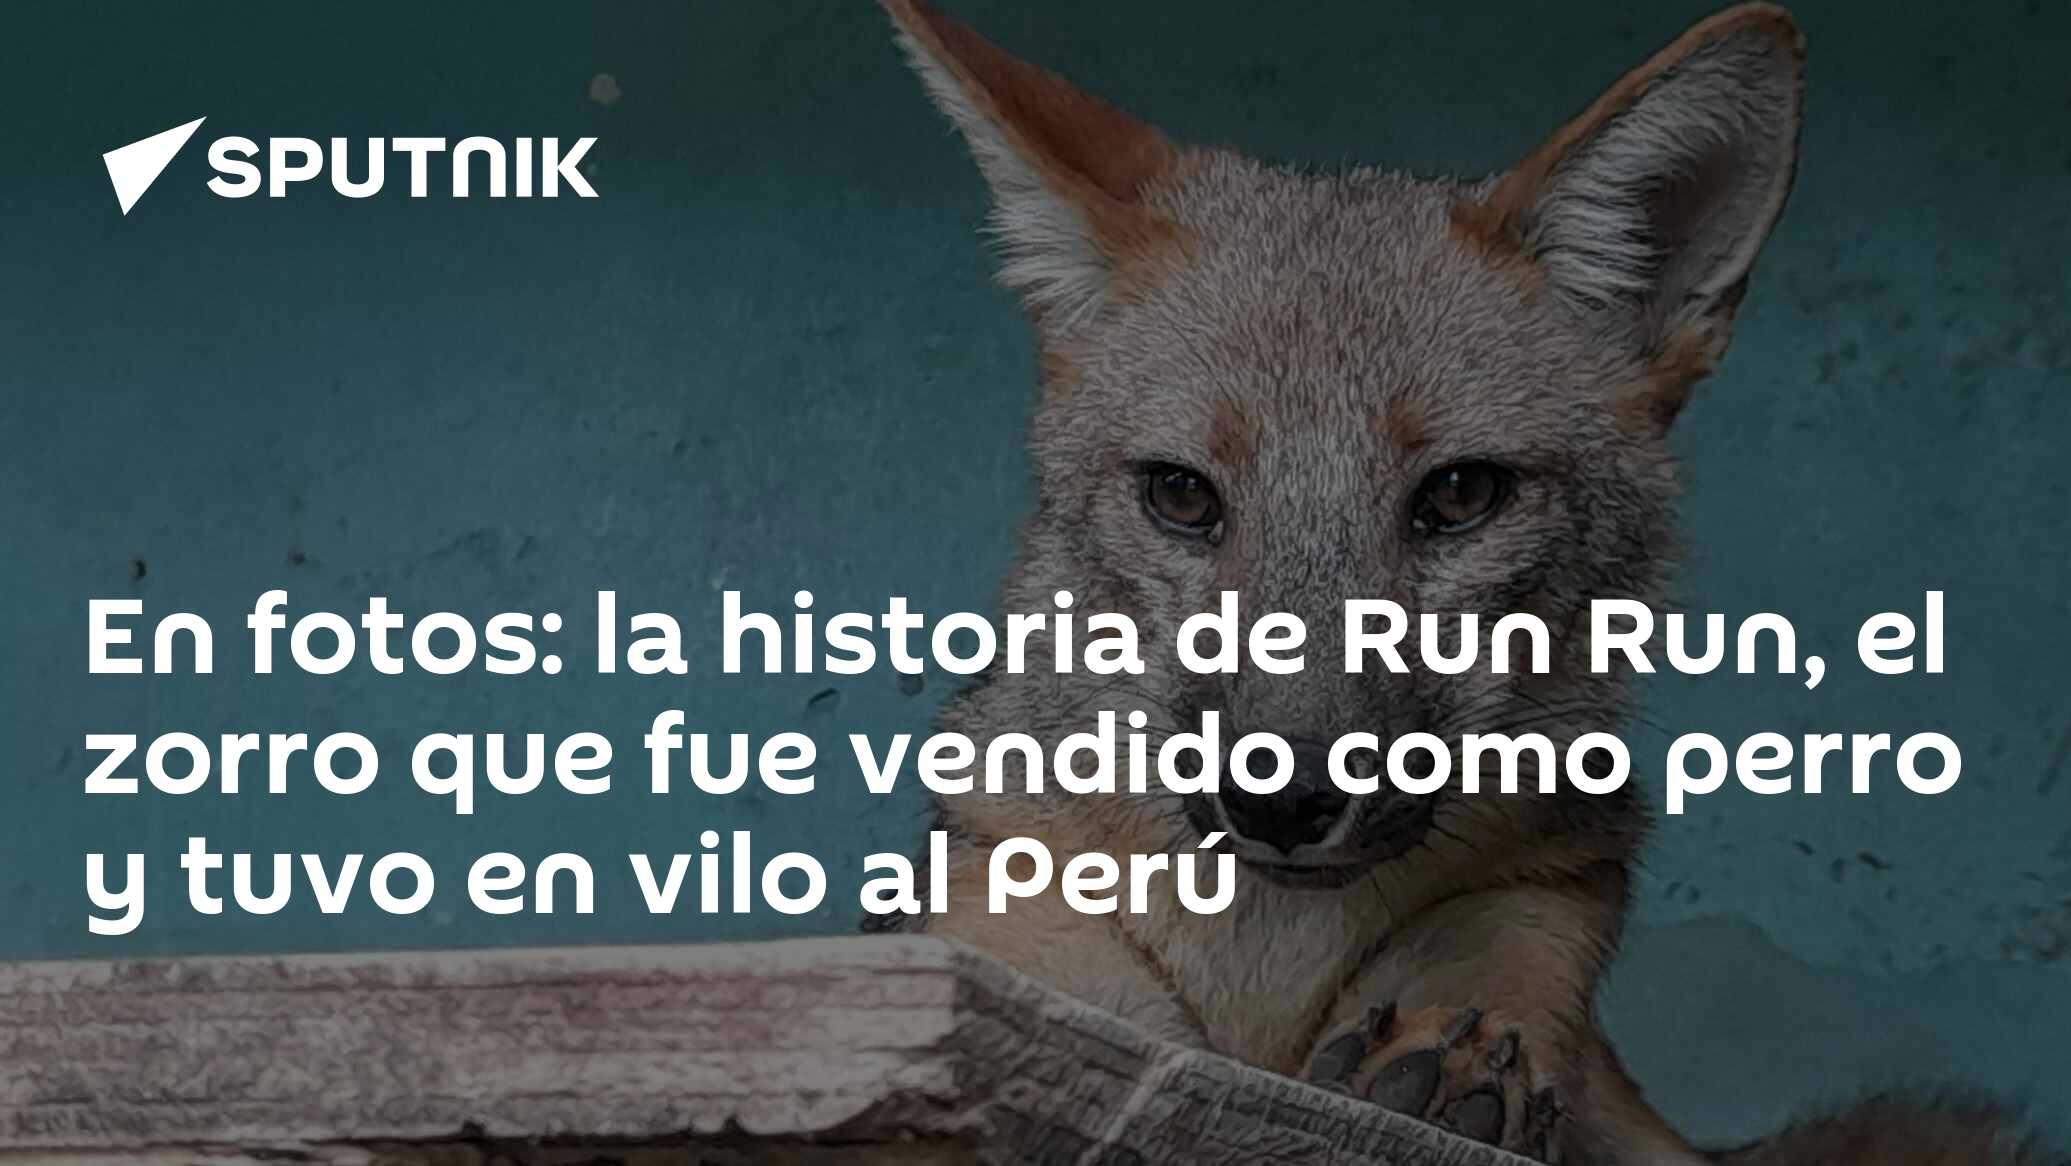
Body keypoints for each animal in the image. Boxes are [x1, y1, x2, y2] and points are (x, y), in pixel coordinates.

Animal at [868, 1, 2050, 1163]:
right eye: (1181, 496)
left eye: (1460, 493)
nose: (1281, 798)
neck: (1265, 988)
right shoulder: (1000, 933)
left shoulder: (1559, 890)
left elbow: (1500, 941)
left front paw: (1460, 1043)